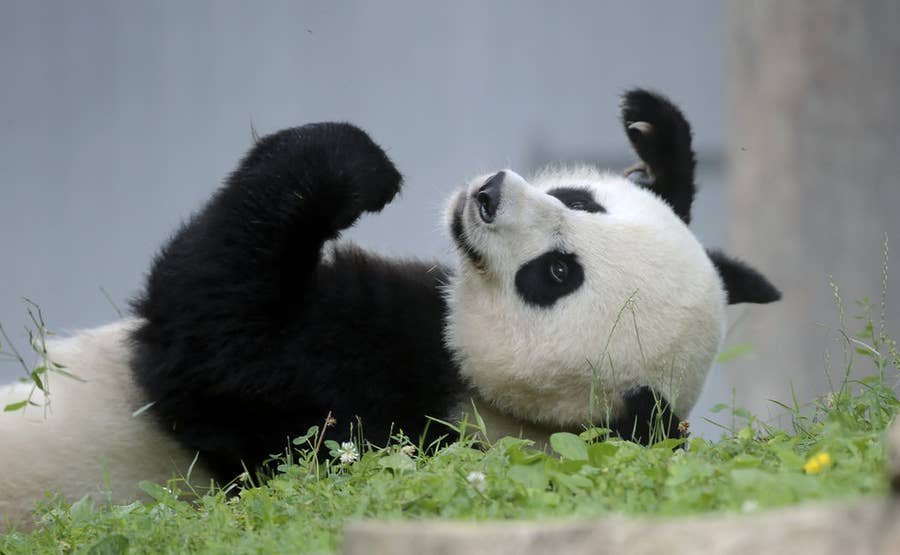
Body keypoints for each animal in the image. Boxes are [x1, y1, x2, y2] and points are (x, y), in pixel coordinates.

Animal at [0, 89, 779, 527]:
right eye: (582, 201)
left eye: (557, 274)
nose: (487, 195)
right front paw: (657, 137)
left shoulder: (360, 396)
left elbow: (212, 338)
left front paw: (356, 170)